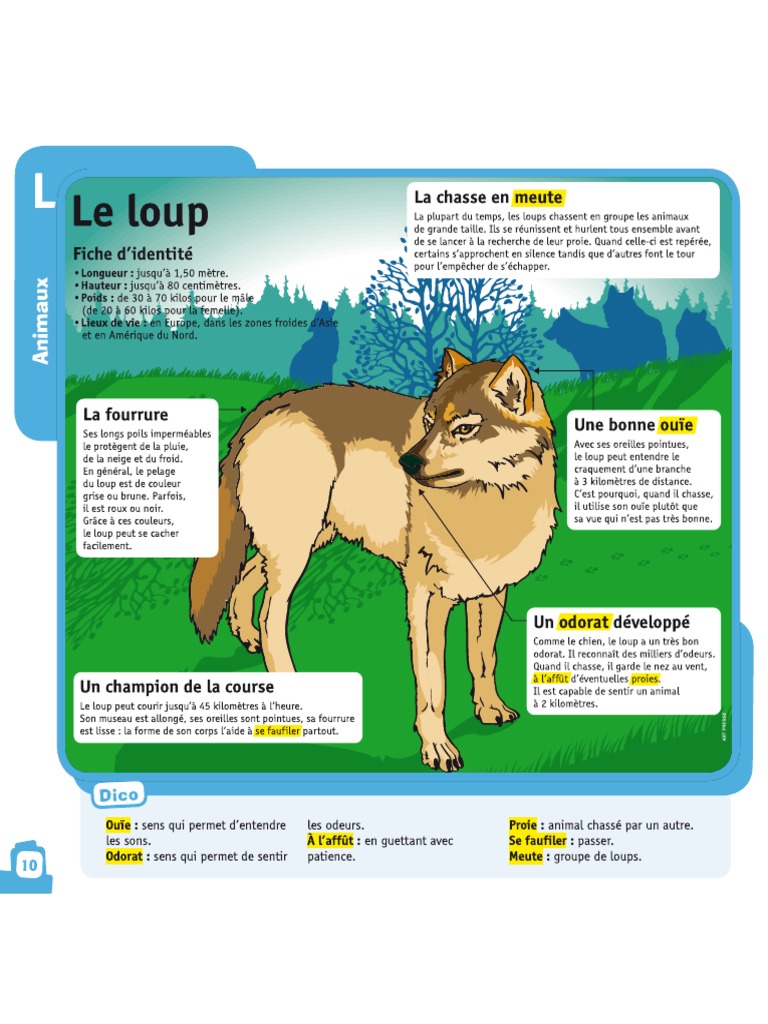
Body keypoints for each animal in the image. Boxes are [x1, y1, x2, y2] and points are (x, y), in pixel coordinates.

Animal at [190, 348, 557, 771]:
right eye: (429, 423)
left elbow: (483, 657)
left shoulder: (490, 591)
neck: (488, 504)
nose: (407, 463)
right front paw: (437, 747)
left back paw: (245, 634)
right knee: (271, 616)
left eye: (463, 428)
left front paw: (490, 709)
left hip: (308, 539)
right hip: (297, 547)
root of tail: (274, 403)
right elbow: (433, 684)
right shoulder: (427, 599)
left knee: (249, 574)